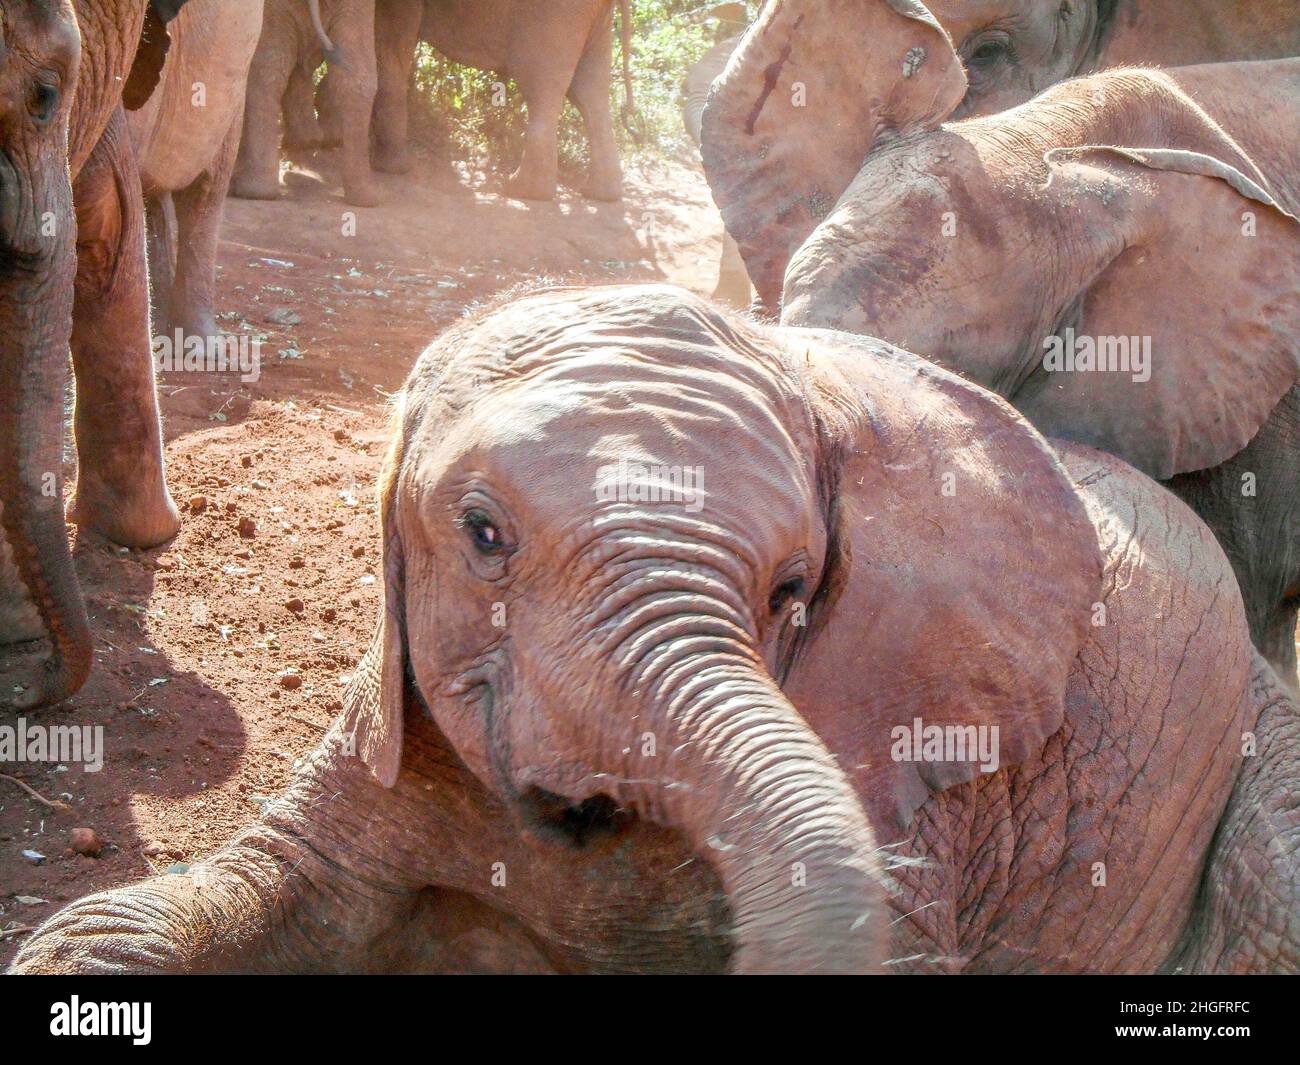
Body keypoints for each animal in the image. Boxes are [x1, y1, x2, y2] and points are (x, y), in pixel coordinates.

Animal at [301, 0, 636, 202]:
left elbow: (390, 38)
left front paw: (386, 167)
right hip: (592, 19)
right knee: (589, 91)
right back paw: (601, 194)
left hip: (555, 16)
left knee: (542, 87)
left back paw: (521, 190)